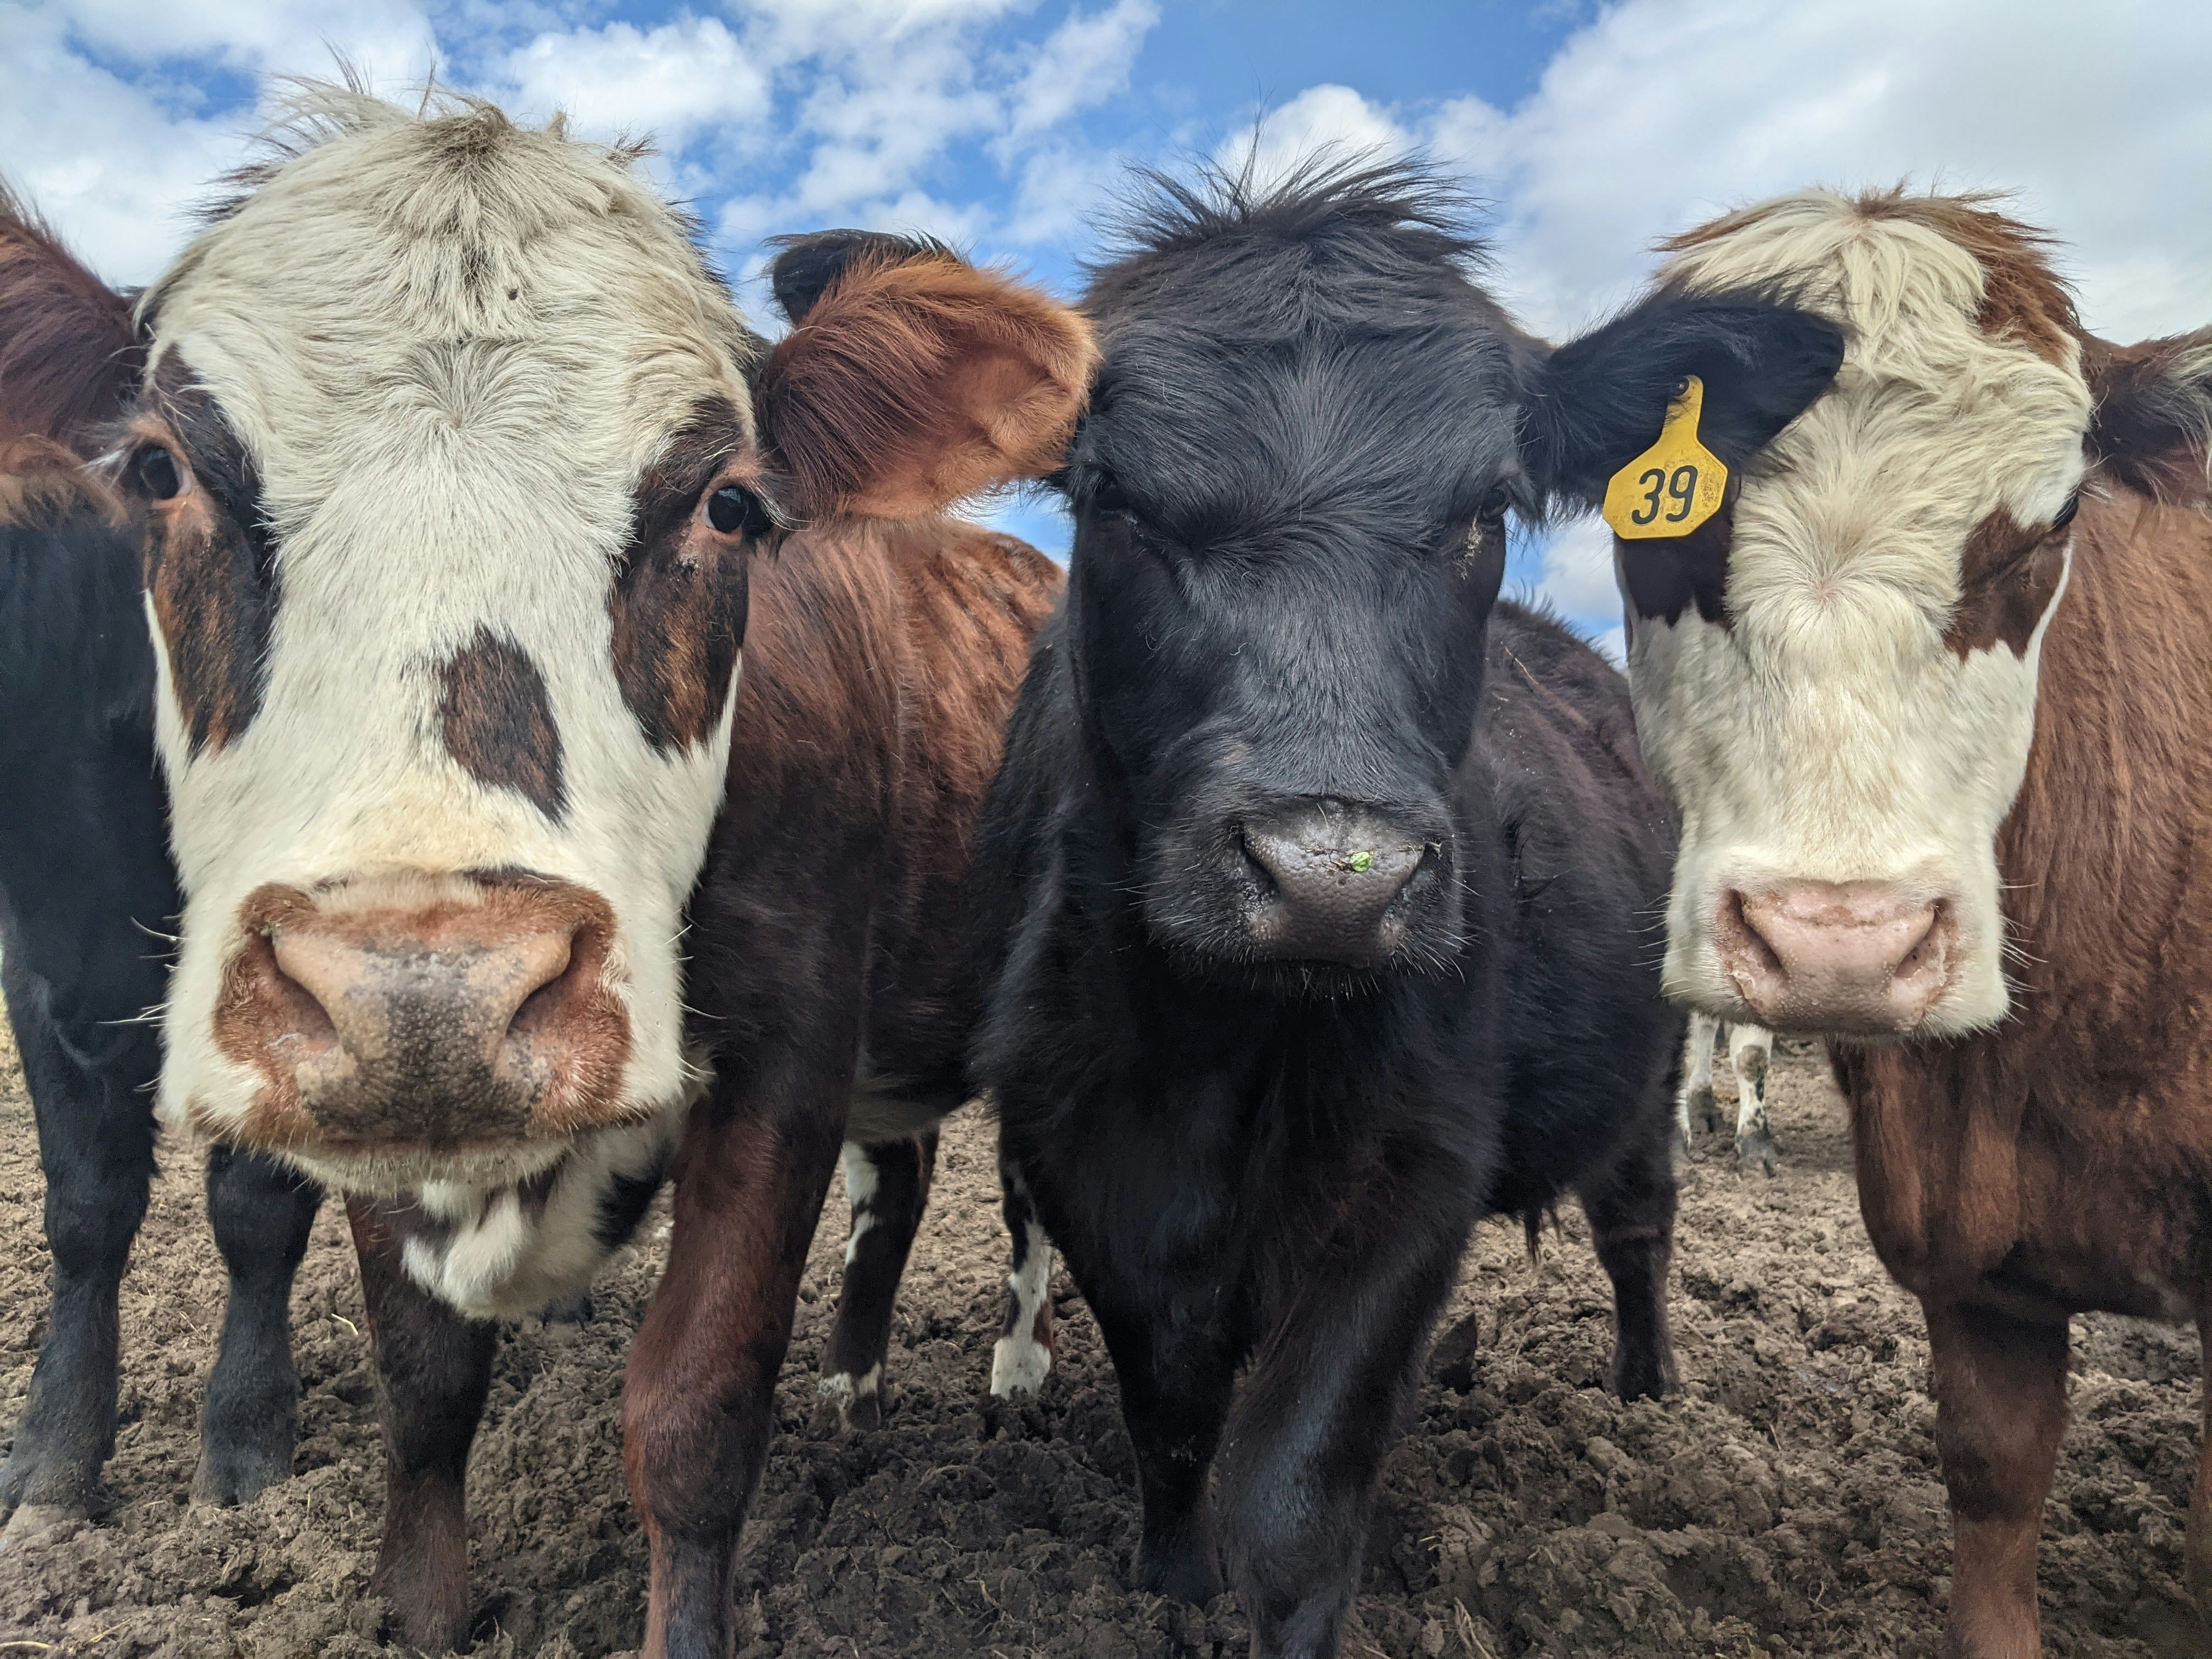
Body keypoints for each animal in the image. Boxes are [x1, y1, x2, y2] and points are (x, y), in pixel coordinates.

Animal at [1, 87, 1091, 1656]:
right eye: (158, 470)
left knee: (1019, 1191)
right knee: (906, 1174)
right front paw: (421, 1610)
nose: (430, 992)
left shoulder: (789, 1055)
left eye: (729, 505)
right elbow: (425, 1380)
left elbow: (695, 1415)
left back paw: (1013, 1371)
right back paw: (855, 1381)